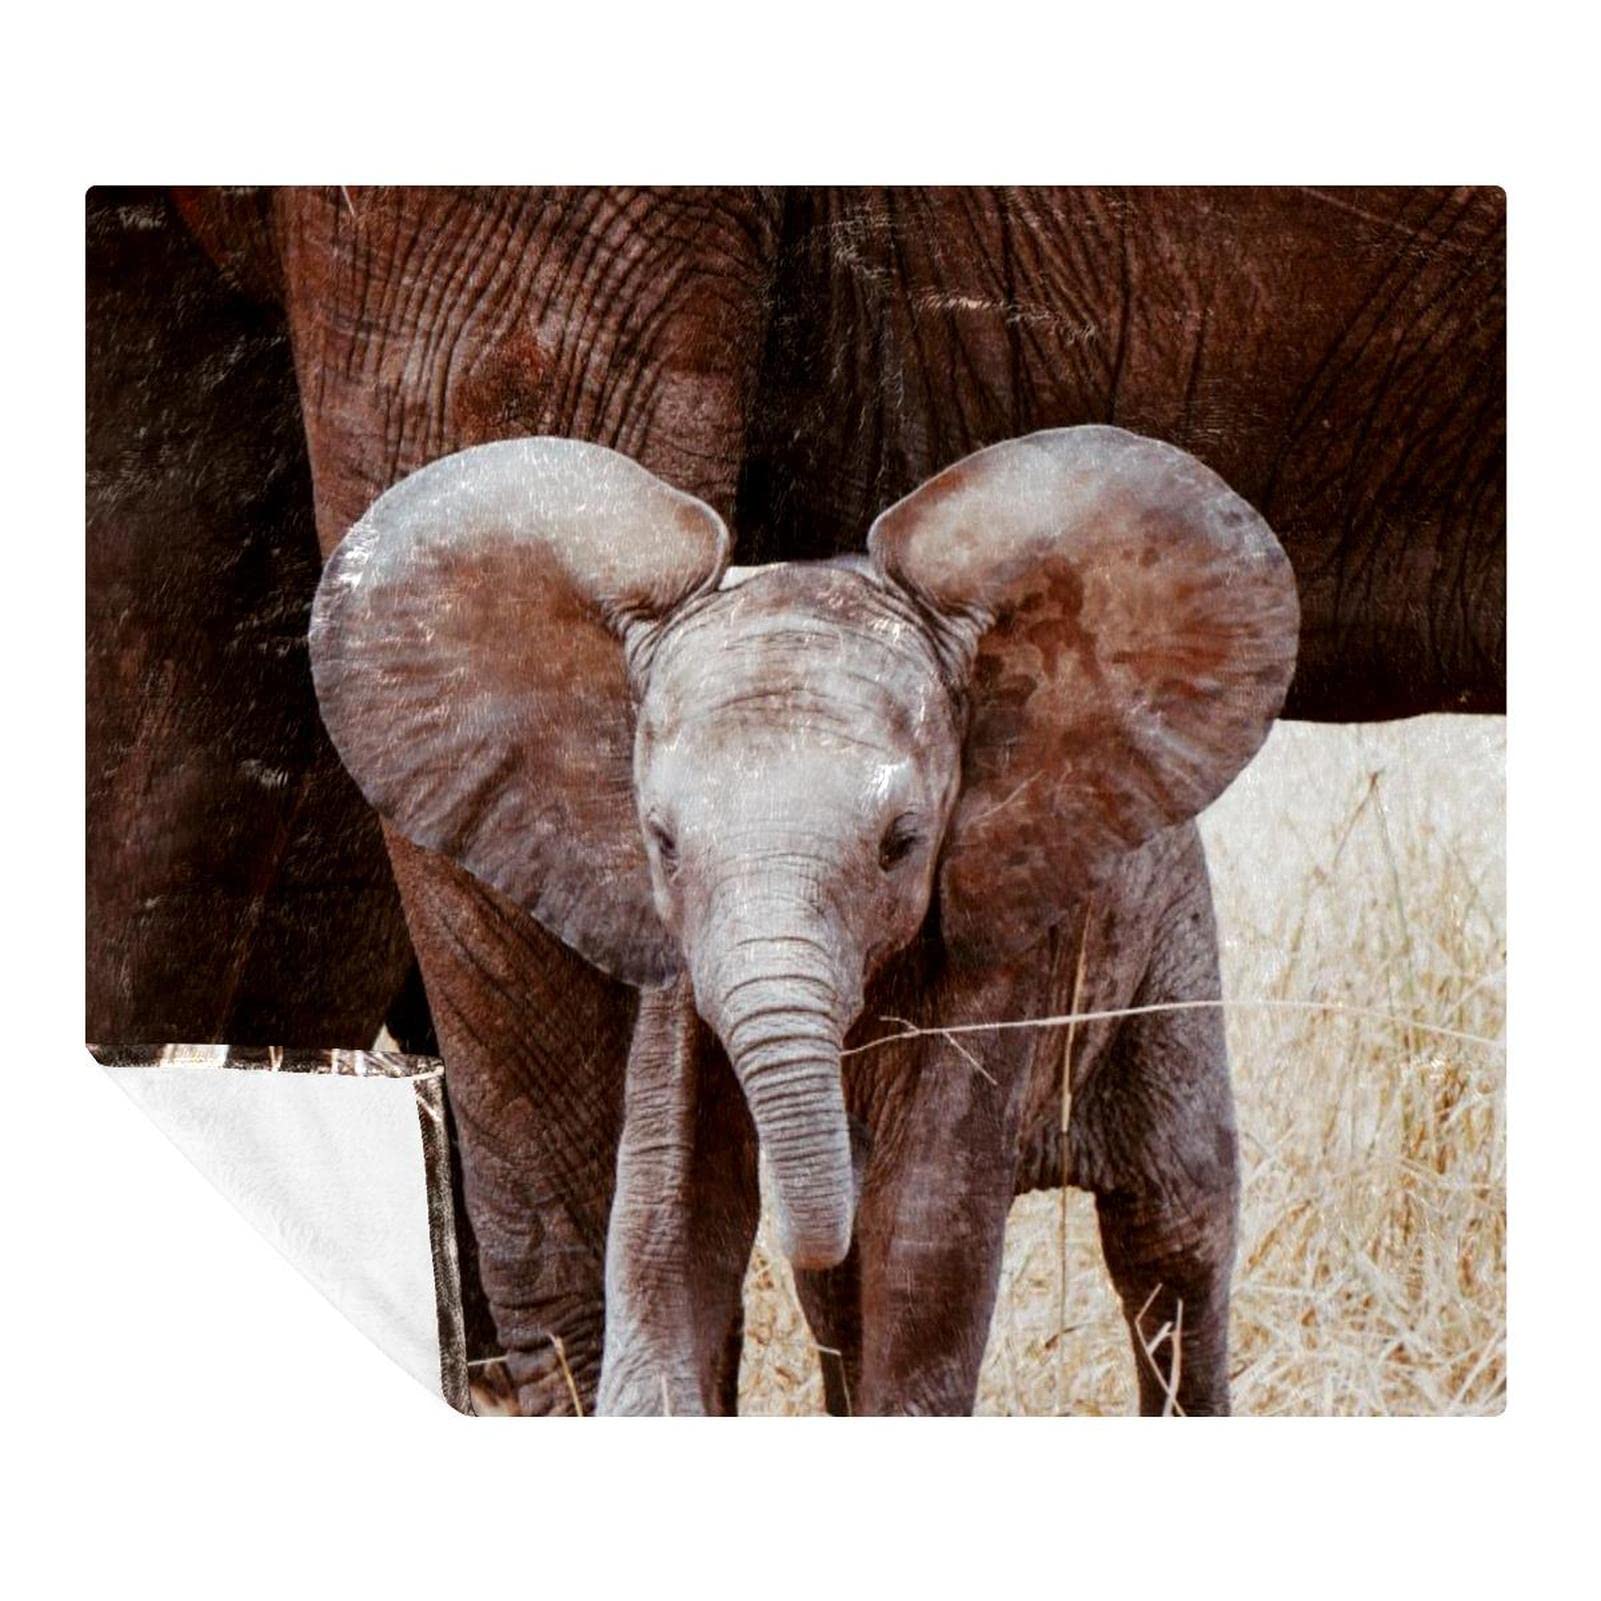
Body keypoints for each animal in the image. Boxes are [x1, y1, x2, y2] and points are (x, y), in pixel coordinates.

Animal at [307, 427, 1298, 1414]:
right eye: (662, 841)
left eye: (901, 843)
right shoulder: (679, 975)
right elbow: (667, 1222)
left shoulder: (997, 939)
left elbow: (925, 1234)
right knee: (843, 1297)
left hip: (1167, 939)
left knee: (1173, 1228)